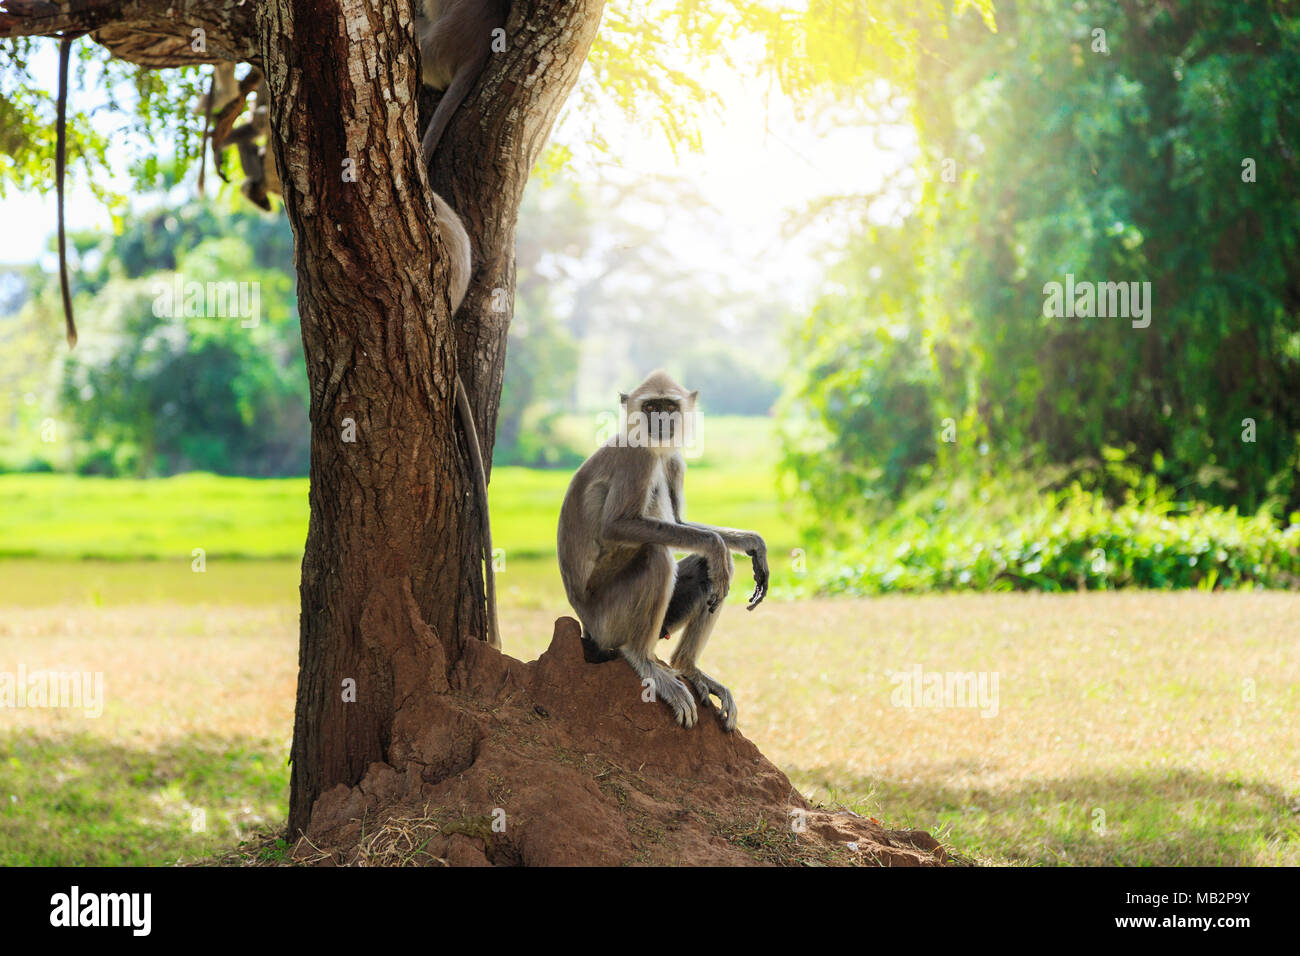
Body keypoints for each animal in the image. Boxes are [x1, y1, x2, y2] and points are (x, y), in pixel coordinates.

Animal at [556, 371, 770, 730]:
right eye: (650, 407)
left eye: (669, 407)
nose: (660, 420)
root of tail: (585, 624)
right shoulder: (637, 457)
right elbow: (615, 526)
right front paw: (718, 546)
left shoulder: (674, 461)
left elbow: (682, 523)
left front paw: (750, 542)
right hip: (607, 617)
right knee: (656, 554)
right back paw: (642, 659)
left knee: (705, 570)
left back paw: (687, 667)